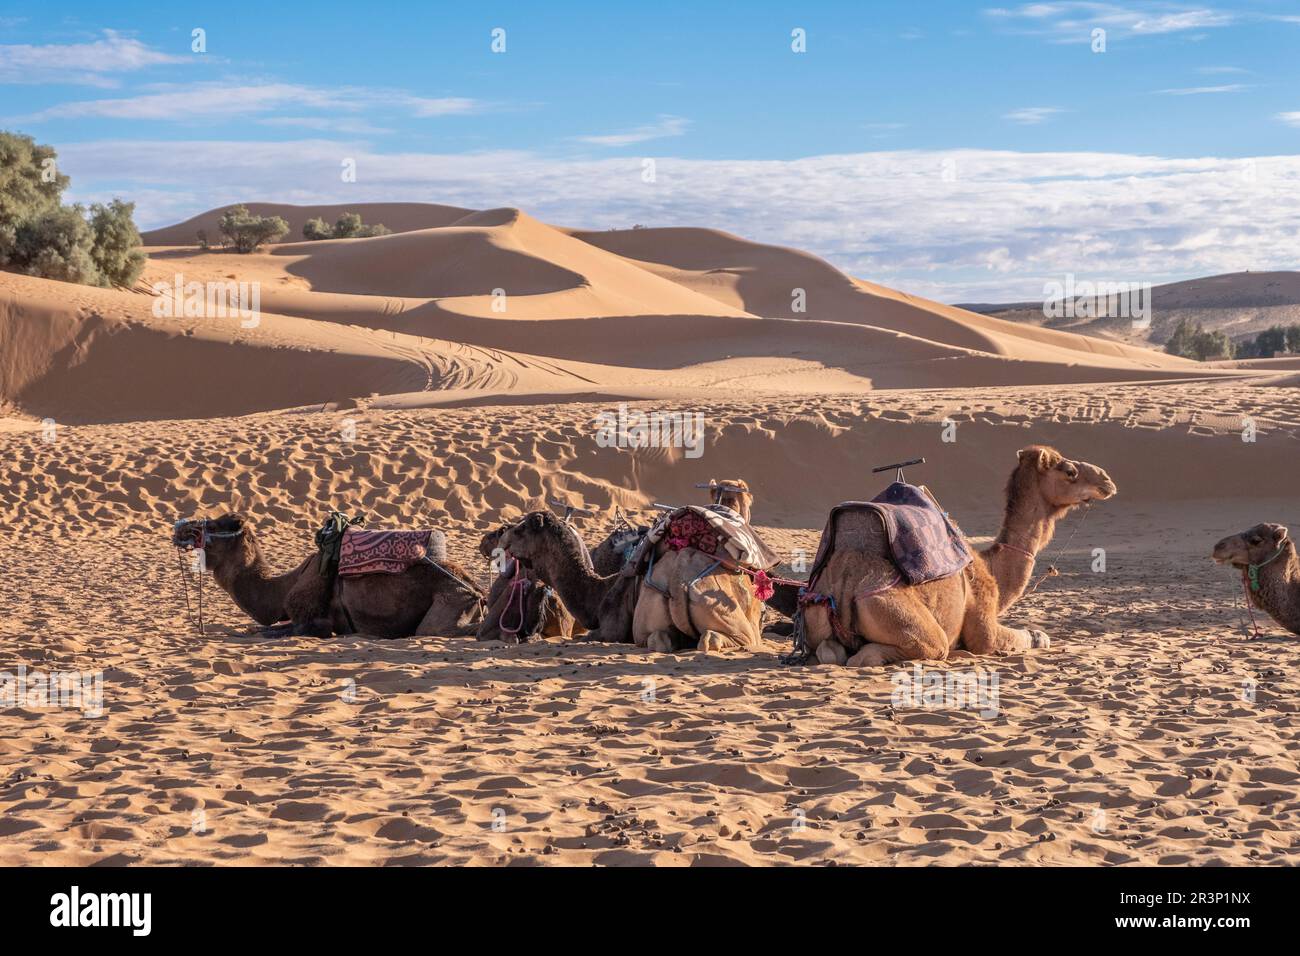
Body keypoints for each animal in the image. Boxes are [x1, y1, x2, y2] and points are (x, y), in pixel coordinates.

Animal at [171, 514, 485, 639]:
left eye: (215, 525)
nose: (180, 527)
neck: (282, 588)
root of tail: (476, 590)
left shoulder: (314, 620)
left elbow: (265, 631)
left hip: (452, 600)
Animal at [498, 510, 764, 653]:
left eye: (521, 529)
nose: (503, 534)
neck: (601, 591)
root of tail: (678, 582)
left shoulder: (610, 627)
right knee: (678, 639)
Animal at [802, 445, 1116, 667]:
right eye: (1069, 471)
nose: (1107, 480)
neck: (992, 566)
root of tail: (843, 583)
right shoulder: (985, 625)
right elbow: (1022, 637)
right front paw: (1040, 636)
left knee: (829, 652)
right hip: (894, 610)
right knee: (873, 655)